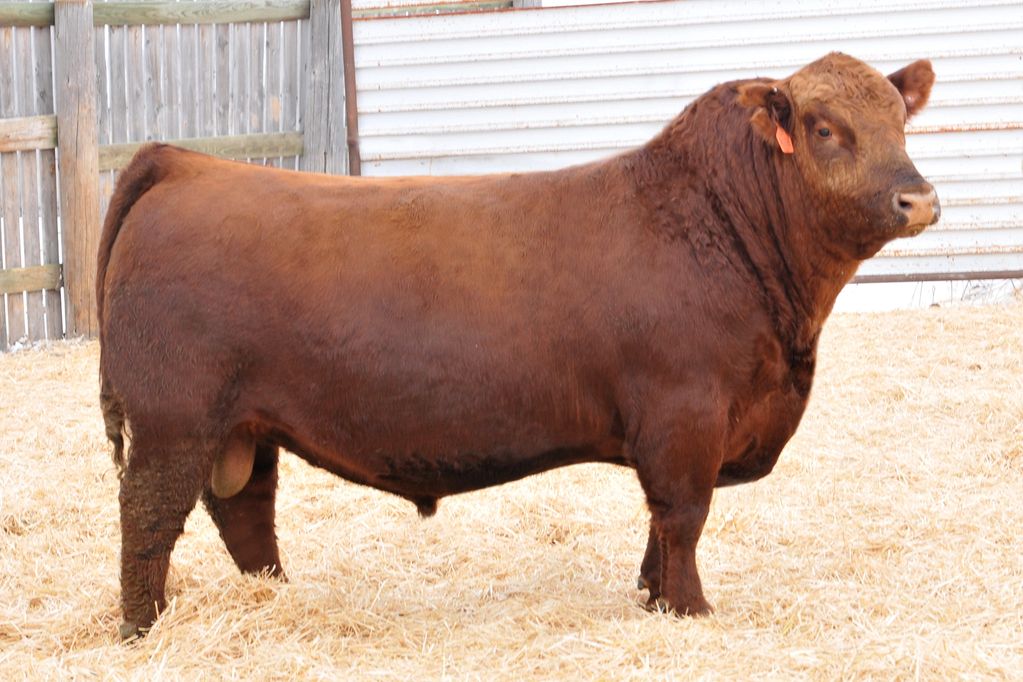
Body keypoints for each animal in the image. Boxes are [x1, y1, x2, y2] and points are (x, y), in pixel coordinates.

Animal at [98, 52, 939, 639]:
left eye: (901, 121)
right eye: (825, 128)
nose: (919, 198)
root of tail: (184, 163)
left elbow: (657, 524)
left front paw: (651, 598)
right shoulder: (684, 414)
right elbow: (682, 515)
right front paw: (690, 609)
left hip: (242, 424)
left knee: (244, 509)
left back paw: (273, 597)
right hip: (173, 420)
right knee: (149, 516)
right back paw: (141, 629)